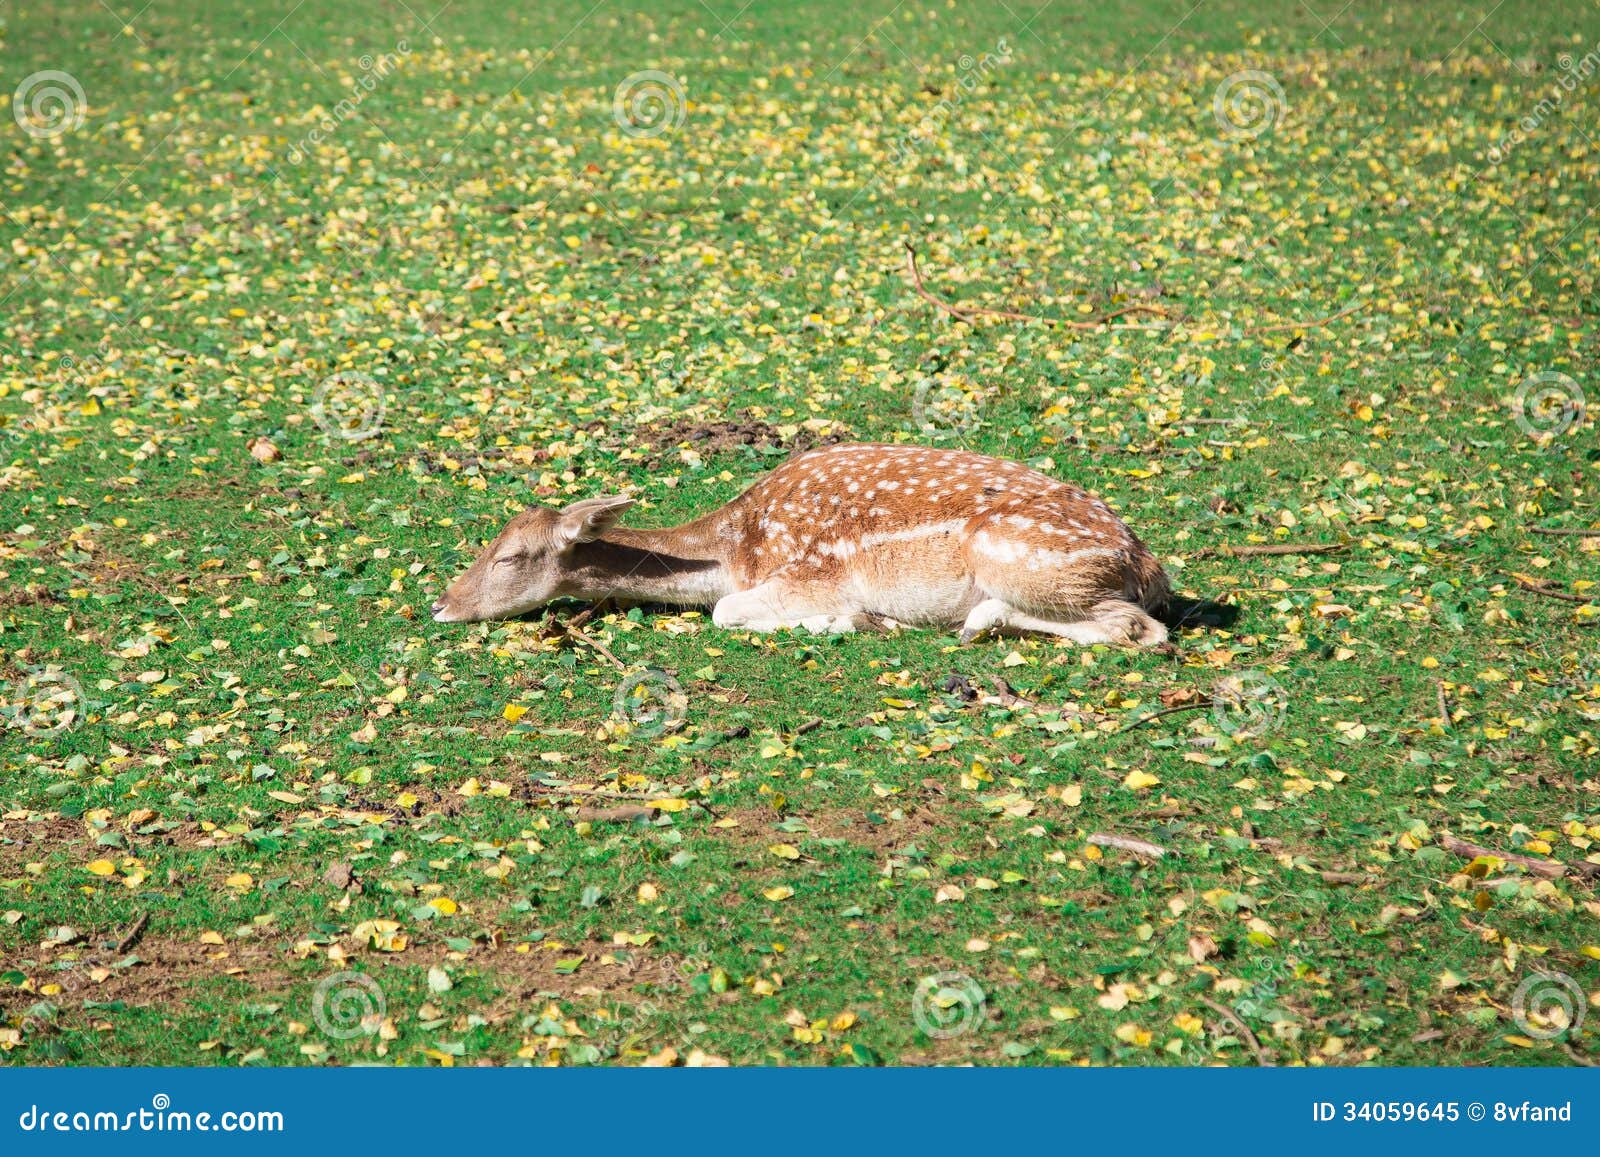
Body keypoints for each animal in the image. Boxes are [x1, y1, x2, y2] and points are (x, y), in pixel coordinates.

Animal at [431, 443, 1170, 645]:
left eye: (511, 556)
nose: (441, 604)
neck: (734, 551)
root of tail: (1149, 565)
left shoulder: (810, 571)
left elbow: (726, 612)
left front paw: (850, 619)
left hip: (1028, 562)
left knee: (1142, 631)